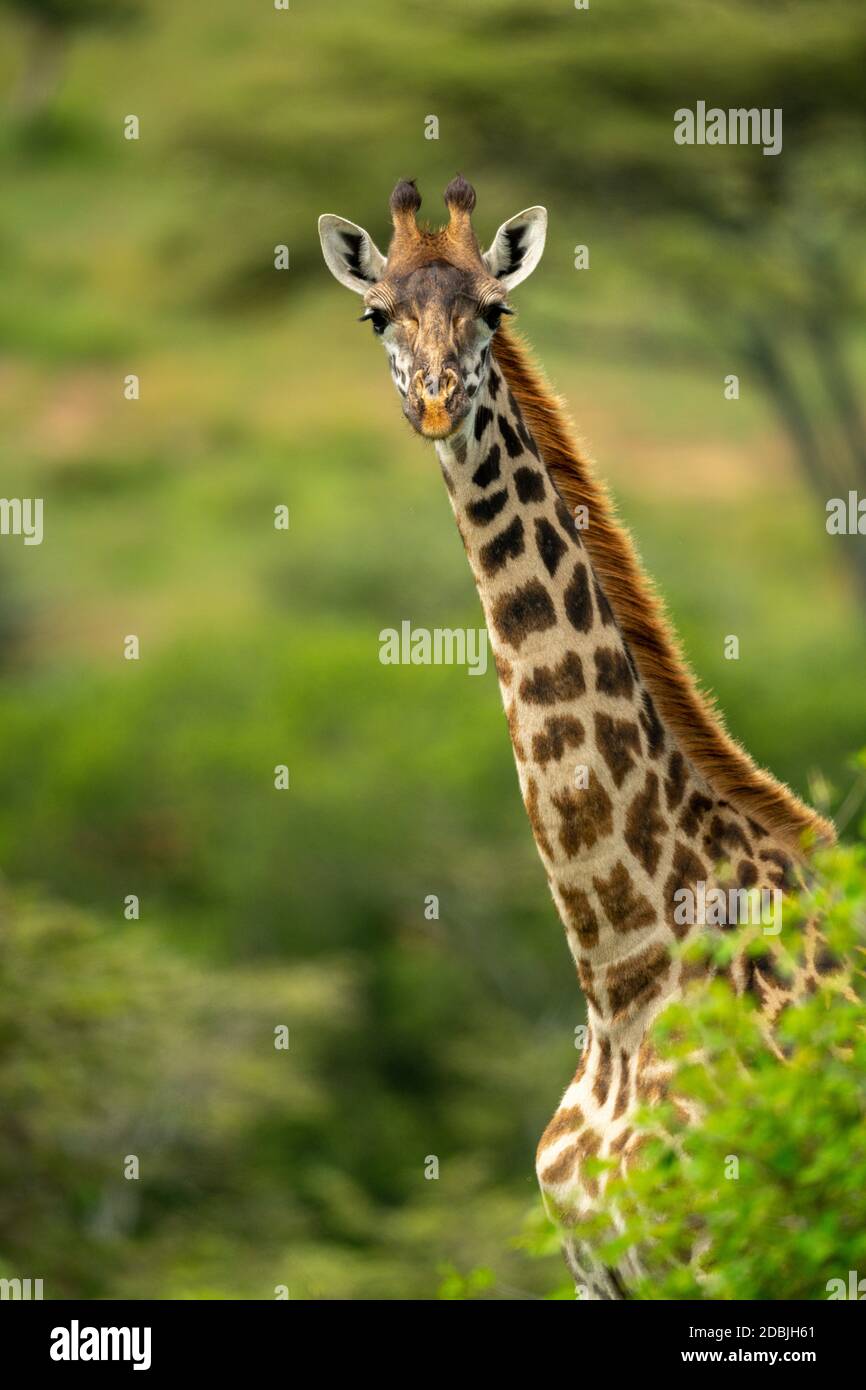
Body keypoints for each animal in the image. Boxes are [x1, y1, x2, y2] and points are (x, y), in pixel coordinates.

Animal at [318, 177, 838, 1297]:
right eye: (375, 314)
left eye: (495, 308)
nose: (435, 401)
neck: (622, 979)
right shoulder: (597, 1268)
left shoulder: (730, 1250)